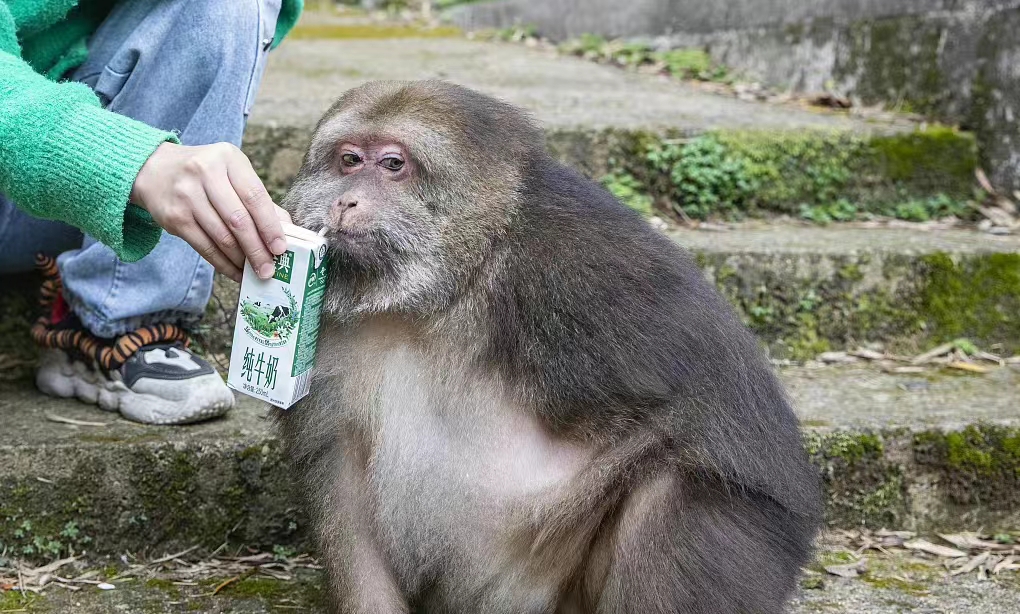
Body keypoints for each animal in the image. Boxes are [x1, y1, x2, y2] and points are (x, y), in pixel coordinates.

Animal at [277, 80, 822, 614]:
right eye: (349, 160)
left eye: (393, 164)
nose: (345, 201)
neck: (444, 290)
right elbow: (338, 461)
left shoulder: (580, 264)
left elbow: (727, 413)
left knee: (670, 491)